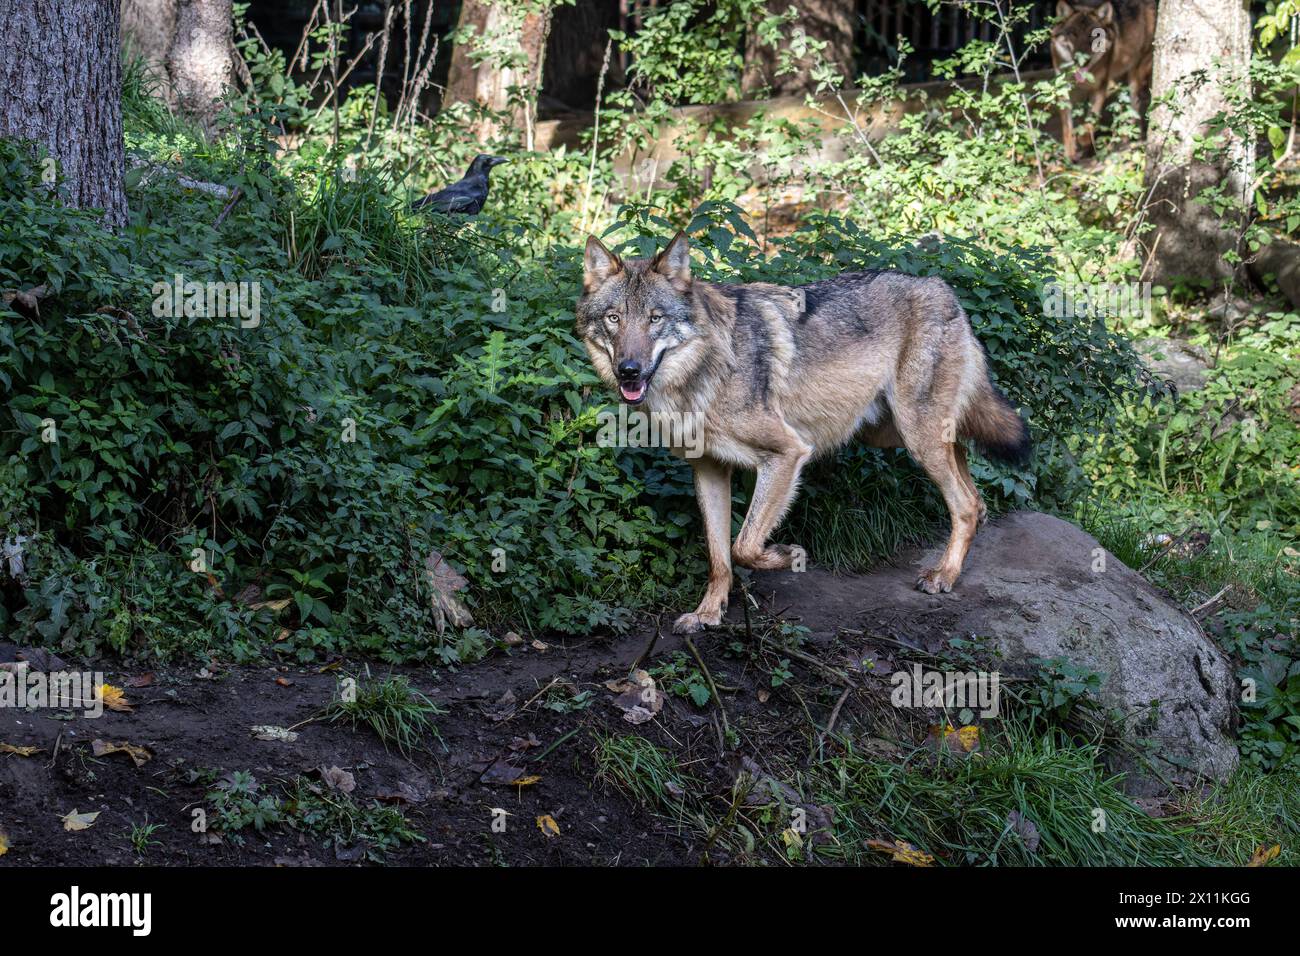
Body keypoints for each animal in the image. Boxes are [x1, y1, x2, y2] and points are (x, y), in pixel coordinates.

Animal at [576, 232, 1030, 635]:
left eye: (655, 319)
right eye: (615, 318)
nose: (629, 371)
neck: (704, 372)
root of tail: (941, 287)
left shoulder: (788, 453)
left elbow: (744, 547)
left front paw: (788, 554)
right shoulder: (708, 470)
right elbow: (719, 557)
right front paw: (707, 614)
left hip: (917, 436)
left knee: (965, 504)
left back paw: (944, 575)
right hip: (896, 434)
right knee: (972, 488)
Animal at [1051, 0, 1156, 161]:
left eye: (1094, 36)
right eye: (1073, 34)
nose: (1084, 60)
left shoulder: (1099, 88)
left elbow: (1090, 121)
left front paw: (1083, 140)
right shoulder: (1063, 91)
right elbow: (1067, 128)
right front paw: (1069, 155)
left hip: (1136, 74)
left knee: (1135, 105)